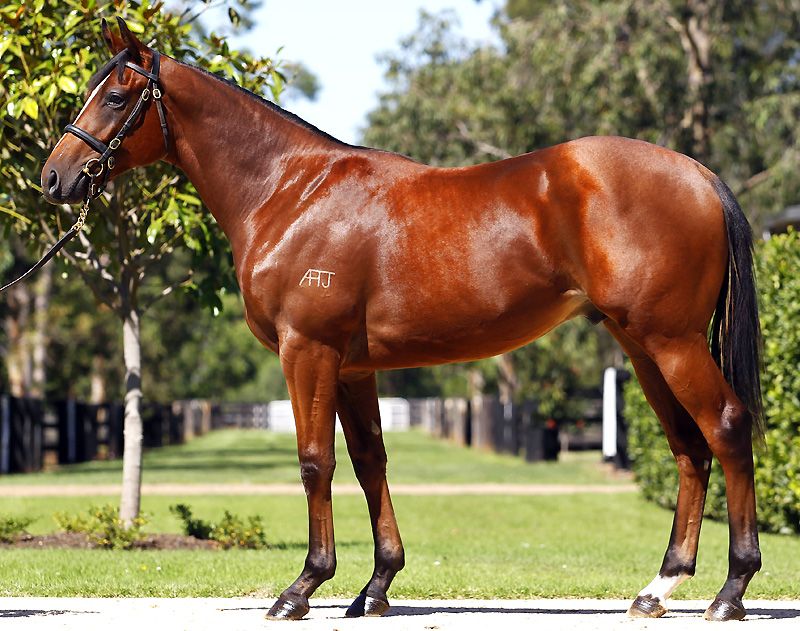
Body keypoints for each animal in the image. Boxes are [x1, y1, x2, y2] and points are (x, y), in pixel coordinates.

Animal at [41, 18, 763, 622]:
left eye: (115, 97)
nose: (54, 178)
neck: (290, 193)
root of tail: (700, 175)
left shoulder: (308, 352)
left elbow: (315, 462)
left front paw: (302, 587)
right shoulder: (352, 367)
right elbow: (370, 461)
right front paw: (376, 586)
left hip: (671, 342)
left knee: (726, 429)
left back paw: (730, 591)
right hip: (641, 345)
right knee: (688, 448)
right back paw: (657, 588)